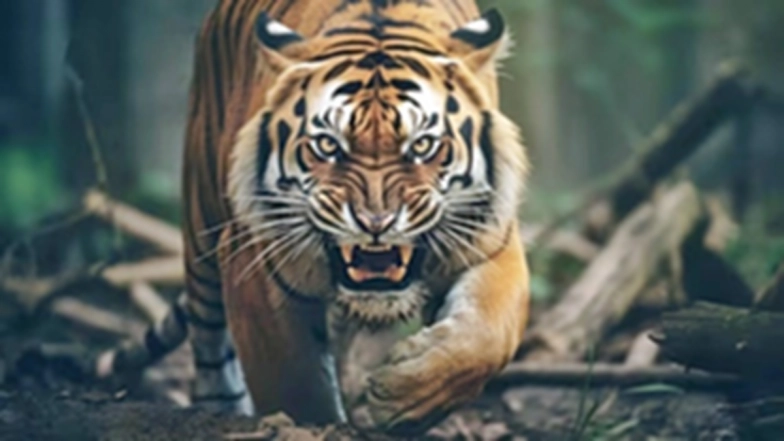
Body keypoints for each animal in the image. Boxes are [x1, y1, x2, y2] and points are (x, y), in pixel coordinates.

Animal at [97, 0, 531, 435]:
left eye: (423, 145)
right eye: (327, 145)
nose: (376, 222)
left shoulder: (492, 238)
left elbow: (488, 336)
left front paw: (405, 396)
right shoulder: (253, 263)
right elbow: (296, 383)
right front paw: (317, 427)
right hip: (201, 222)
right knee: (209, 346)